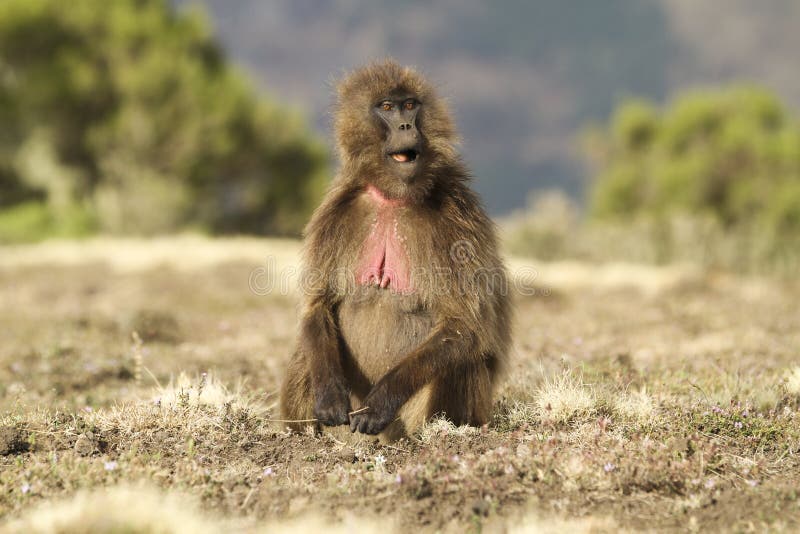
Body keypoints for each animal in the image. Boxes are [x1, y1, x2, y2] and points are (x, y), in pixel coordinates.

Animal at [279, 60, 511, 441]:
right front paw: (329, 395)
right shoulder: (336, 212)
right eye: (387, 107)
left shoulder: (458, 217)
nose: (405, 125)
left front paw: (380, 403)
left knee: (464, 355)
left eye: (410, 105)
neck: (394, 195)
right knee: (305, 351)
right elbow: (319, 304)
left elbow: (465, 324)